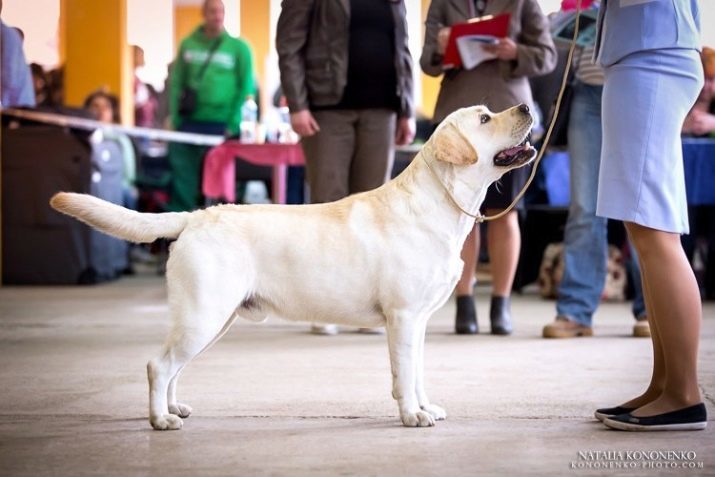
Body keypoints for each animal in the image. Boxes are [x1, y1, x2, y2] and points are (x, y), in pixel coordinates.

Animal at [50, 104, 536, 432]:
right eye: (485, 118)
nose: (528, 107)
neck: (440, 203)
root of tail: (197, 216)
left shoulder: (415, 322)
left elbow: (416, 373)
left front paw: (425, 406)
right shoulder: (402, 318)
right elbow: (403, 375)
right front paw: (412, 415)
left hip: (210, 319)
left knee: (173, 367)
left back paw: (174, 408)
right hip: (203, 315)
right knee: (157, 364)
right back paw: (161, 420)